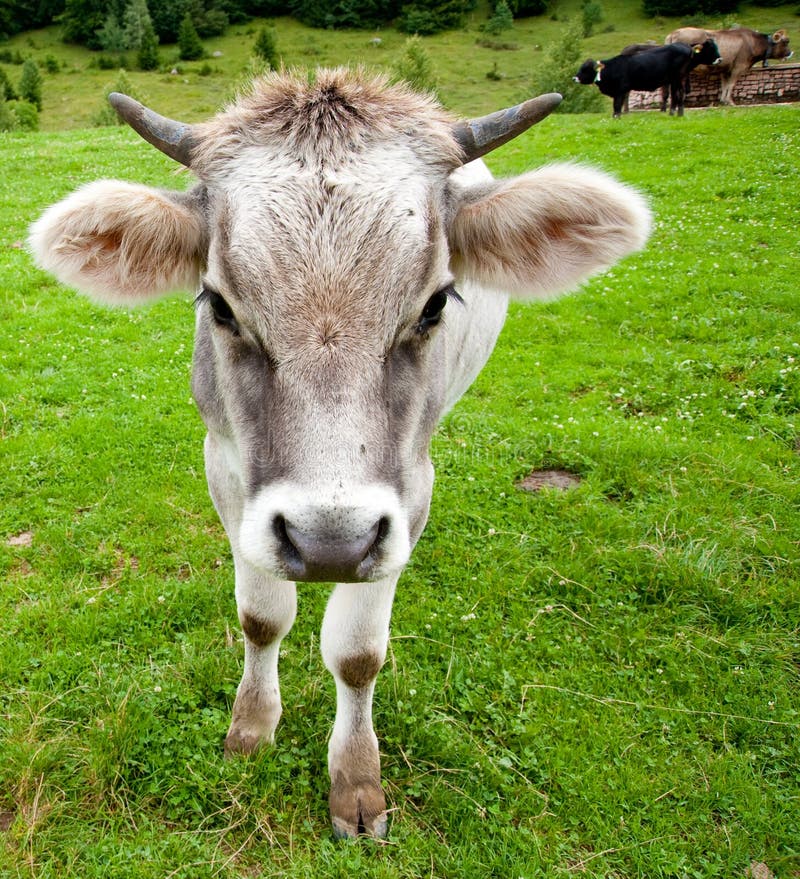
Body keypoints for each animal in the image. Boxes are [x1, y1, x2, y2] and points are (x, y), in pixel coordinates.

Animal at [29, 69, 650, 839]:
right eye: (219, 304)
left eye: (436, 304)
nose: (330, 542)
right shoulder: (224, 466)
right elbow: (262, 616)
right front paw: (251, 729)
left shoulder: (408, 492)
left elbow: (357, 654)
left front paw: (356, 782)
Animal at [574, 40, 722, 117]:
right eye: (711, 48)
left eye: (585, 69)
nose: (574, 78)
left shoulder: (620, 89)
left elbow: (617, 104)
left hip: (678, 77)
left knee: (679, 93)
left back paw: (678, 113)